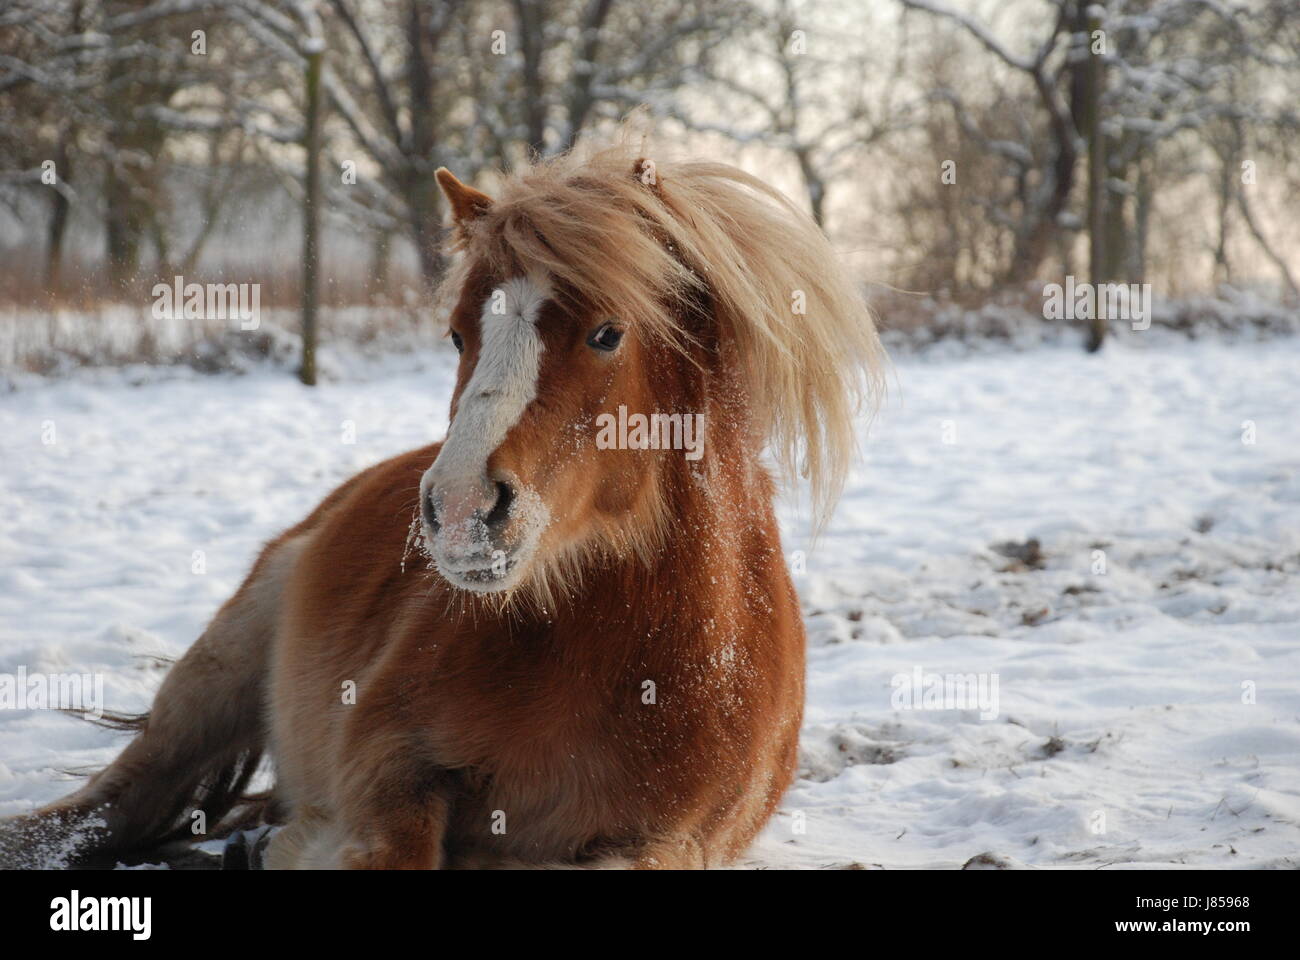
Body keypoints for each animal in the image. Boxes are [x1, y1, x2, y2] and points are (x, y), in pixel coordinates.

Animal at [1, 140, 884, 869]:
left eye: (607, 333)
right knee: (108, 808)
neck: (634, 660)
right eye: (459, 334)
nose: (460, 508)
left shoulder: (669, 841)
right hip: (214, 676)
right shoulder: (387, 774)